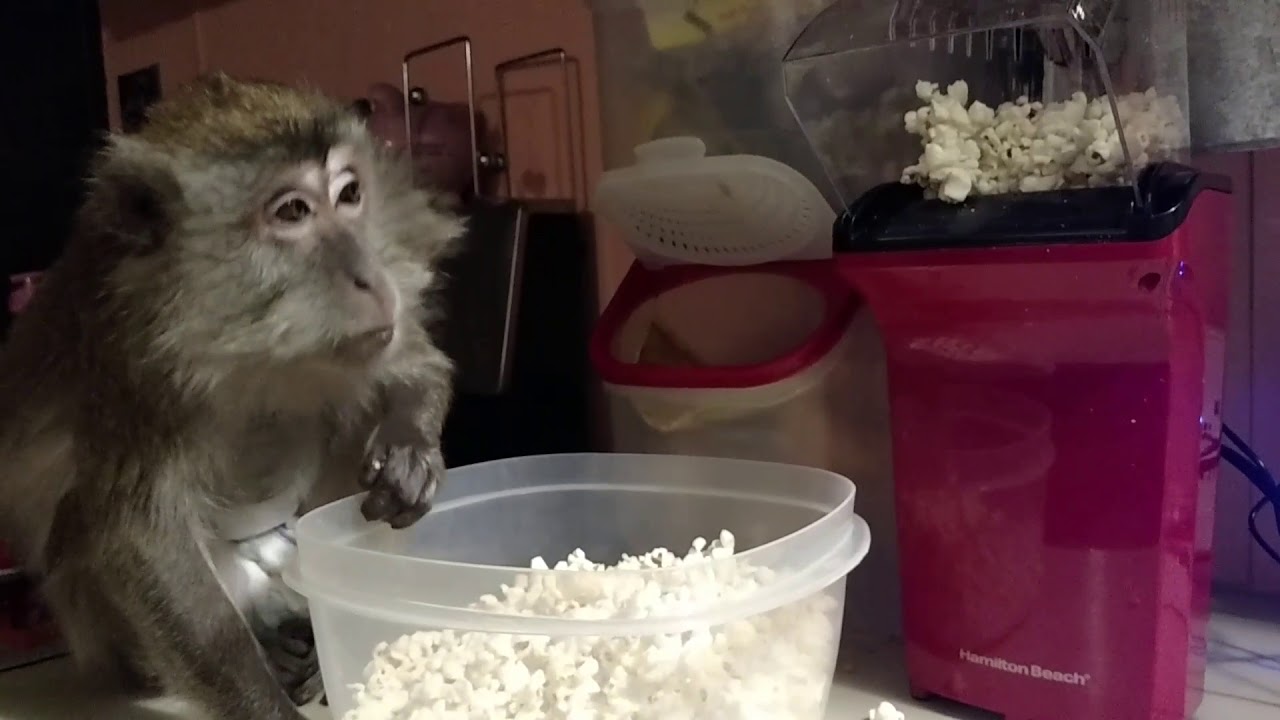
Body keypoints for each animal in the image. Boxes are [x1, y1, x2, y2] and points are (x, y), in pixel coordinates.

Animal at [0, 73, 463, 719]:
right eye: (292, 211)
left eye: (349, 194)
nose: (372, 278)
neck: (256, 345)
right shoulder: (131, 368)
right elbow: (139, 536)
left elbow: (415, 363)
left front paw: (409, 449)